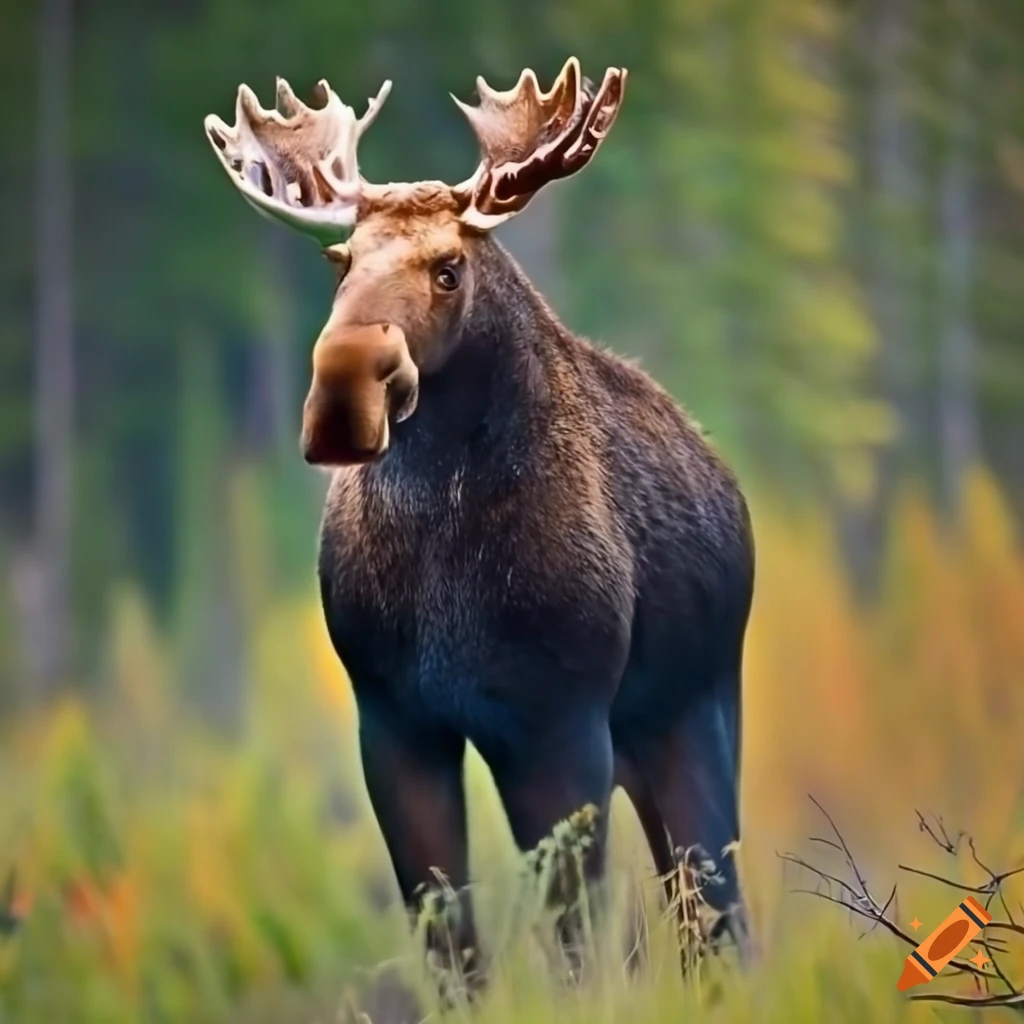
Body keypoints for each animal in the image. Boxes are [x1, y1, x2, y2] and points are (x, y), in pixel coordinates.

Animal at [204, 56, 756, 993]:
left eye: (449, 267)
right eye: (340, 259)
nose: (344, 385)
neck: (442, 549)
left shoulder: (558, 722)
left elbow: (580, 947)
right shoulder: (397, 720)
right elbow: (451, 942)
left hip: (696, 709)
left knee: (717, 920)